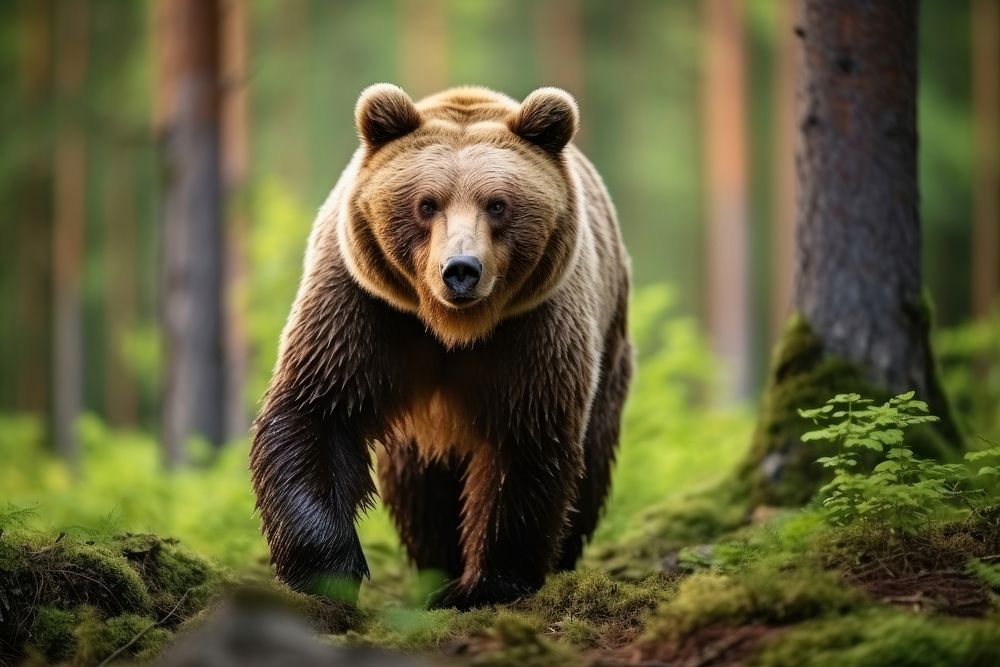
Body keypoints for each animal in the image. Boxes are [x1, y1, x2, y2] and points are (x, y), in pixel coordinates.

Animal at [250, 84, 632, 610]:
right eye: (427, 203)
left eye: (497, 204)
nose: (461, 269)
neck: (453, 329)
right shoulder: (365, 306)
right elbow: (316, 412)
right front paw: (327, 570)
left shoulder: (534, 326)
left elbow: (526, 441)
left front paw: (482, 584)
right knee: (417, 485)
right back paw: (434, 562)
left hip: (610, 341)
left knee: (592, 459)